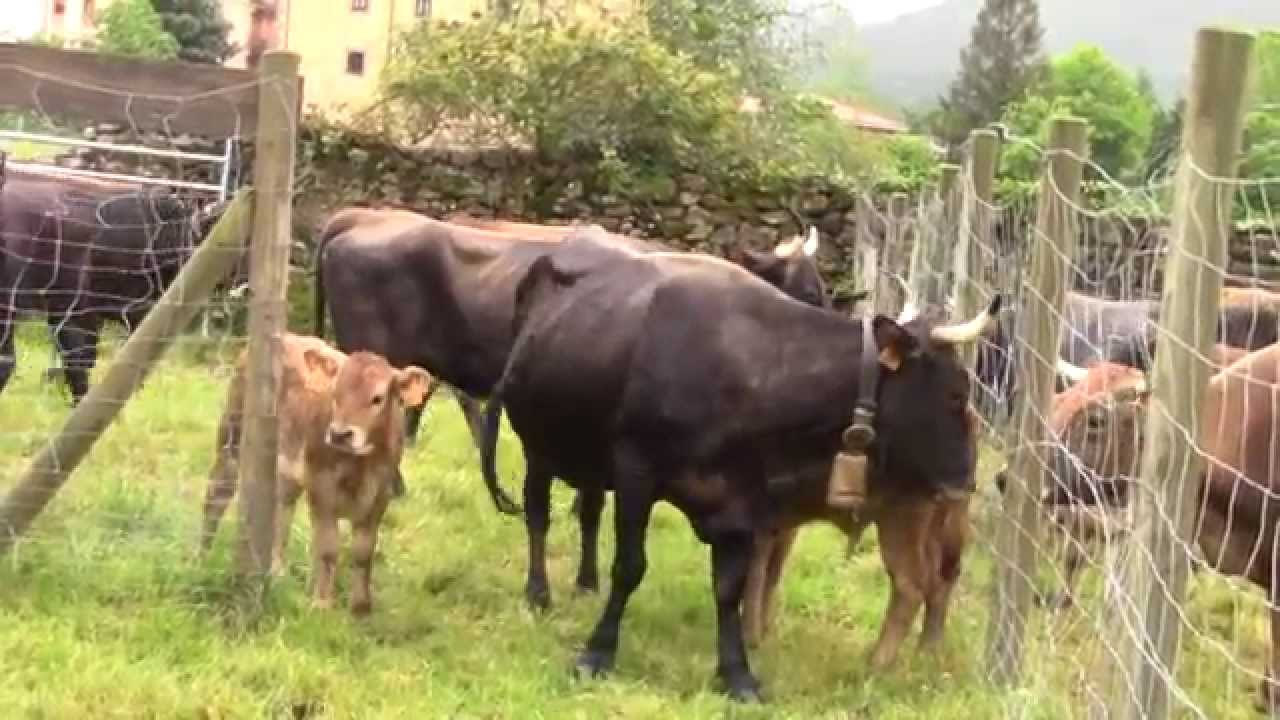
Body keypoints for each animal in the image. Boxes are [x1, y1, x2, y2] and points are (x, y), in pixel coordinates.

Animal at [199, 333, 433, 615]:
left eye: (378, 398)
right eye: (335, 393)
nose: (341, 434)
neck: (360, 470)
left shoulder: (380, 498)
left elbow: (363, 551)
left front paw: (361, 608)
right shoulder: (322, 491)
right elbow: (328, 549)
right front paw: (322, 604)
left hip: (285, 471)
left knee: (282, 513)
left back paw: (277, 571)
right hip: (231, 440)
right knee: (216, 498)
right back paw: (201, 556)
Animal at [478, 230, 999, 701]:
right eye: (956, 394)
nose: (967, 480)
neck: (750, 368)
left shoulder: (742, 501)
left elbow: (730, 586)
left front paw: (737, 673)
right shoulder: (635, 470)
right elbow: (630, 566)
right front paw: (598, 653)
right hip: (538, 442)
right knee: (538, 514)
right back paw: (539, 593)